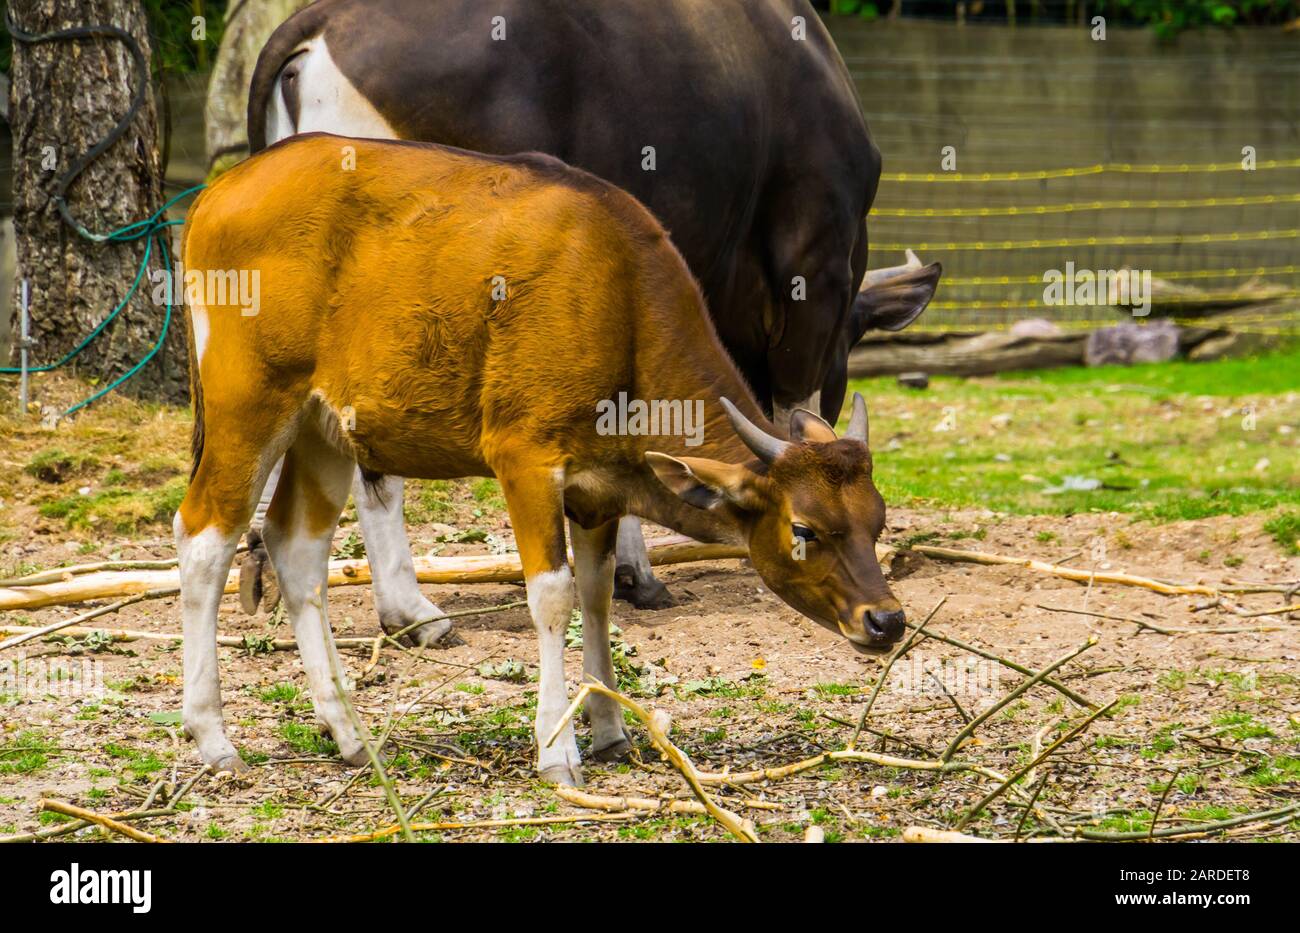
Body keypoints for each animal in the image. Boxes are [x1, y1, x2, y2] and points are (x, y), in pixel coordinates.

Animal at [178, 134, 907, 785]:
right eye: (804, 528)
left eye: (878, 523)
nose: (887, 619)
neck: (622, 306)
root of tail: (214, 194)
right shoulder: (524, 458)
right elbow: (552, 597)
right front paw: (557, 751)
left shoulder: (598, 488)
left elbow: (598, 594)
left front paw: (610, 729)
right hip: (249, 405)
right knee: (203, 537)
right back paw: (214, 740)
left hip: (324, 429)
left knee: (295, 547)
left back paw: (351, 734)